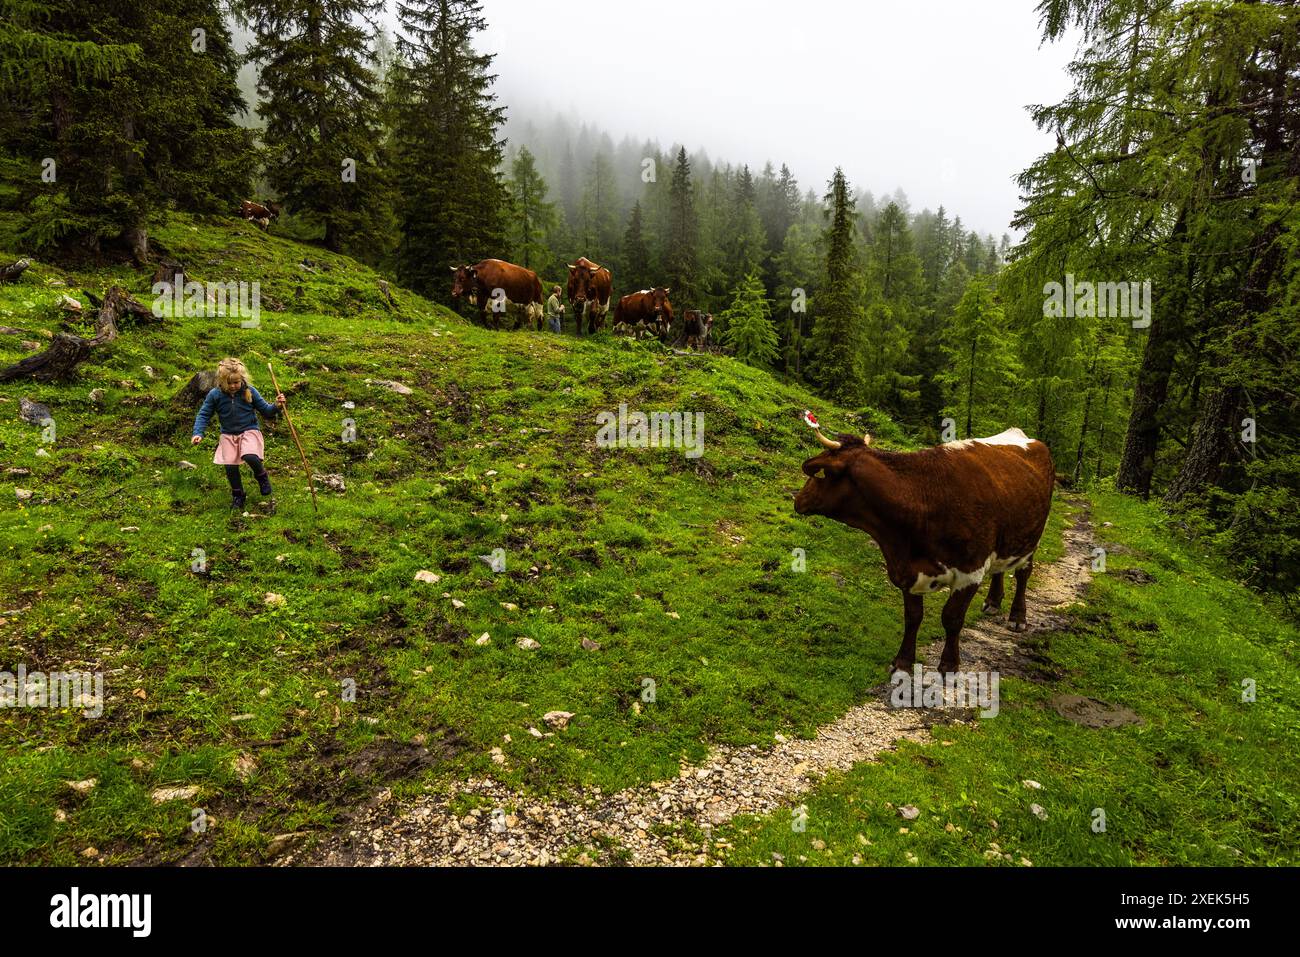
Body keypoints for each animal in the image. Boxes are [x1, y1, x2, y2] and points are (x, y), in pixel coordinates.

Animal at [794, 421, 1055, 676]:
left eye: (823, 474)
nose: (798, 499)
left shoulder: (970, 571)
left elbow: (952, 618)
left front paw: (949, 665)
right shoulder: (909, 570)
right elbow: (913, 617)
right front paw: (902, 662)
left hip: (1034, 535)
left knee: (1023, 573)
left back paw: (1018, 617)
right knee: (1000, 567)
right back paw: (992, 602)